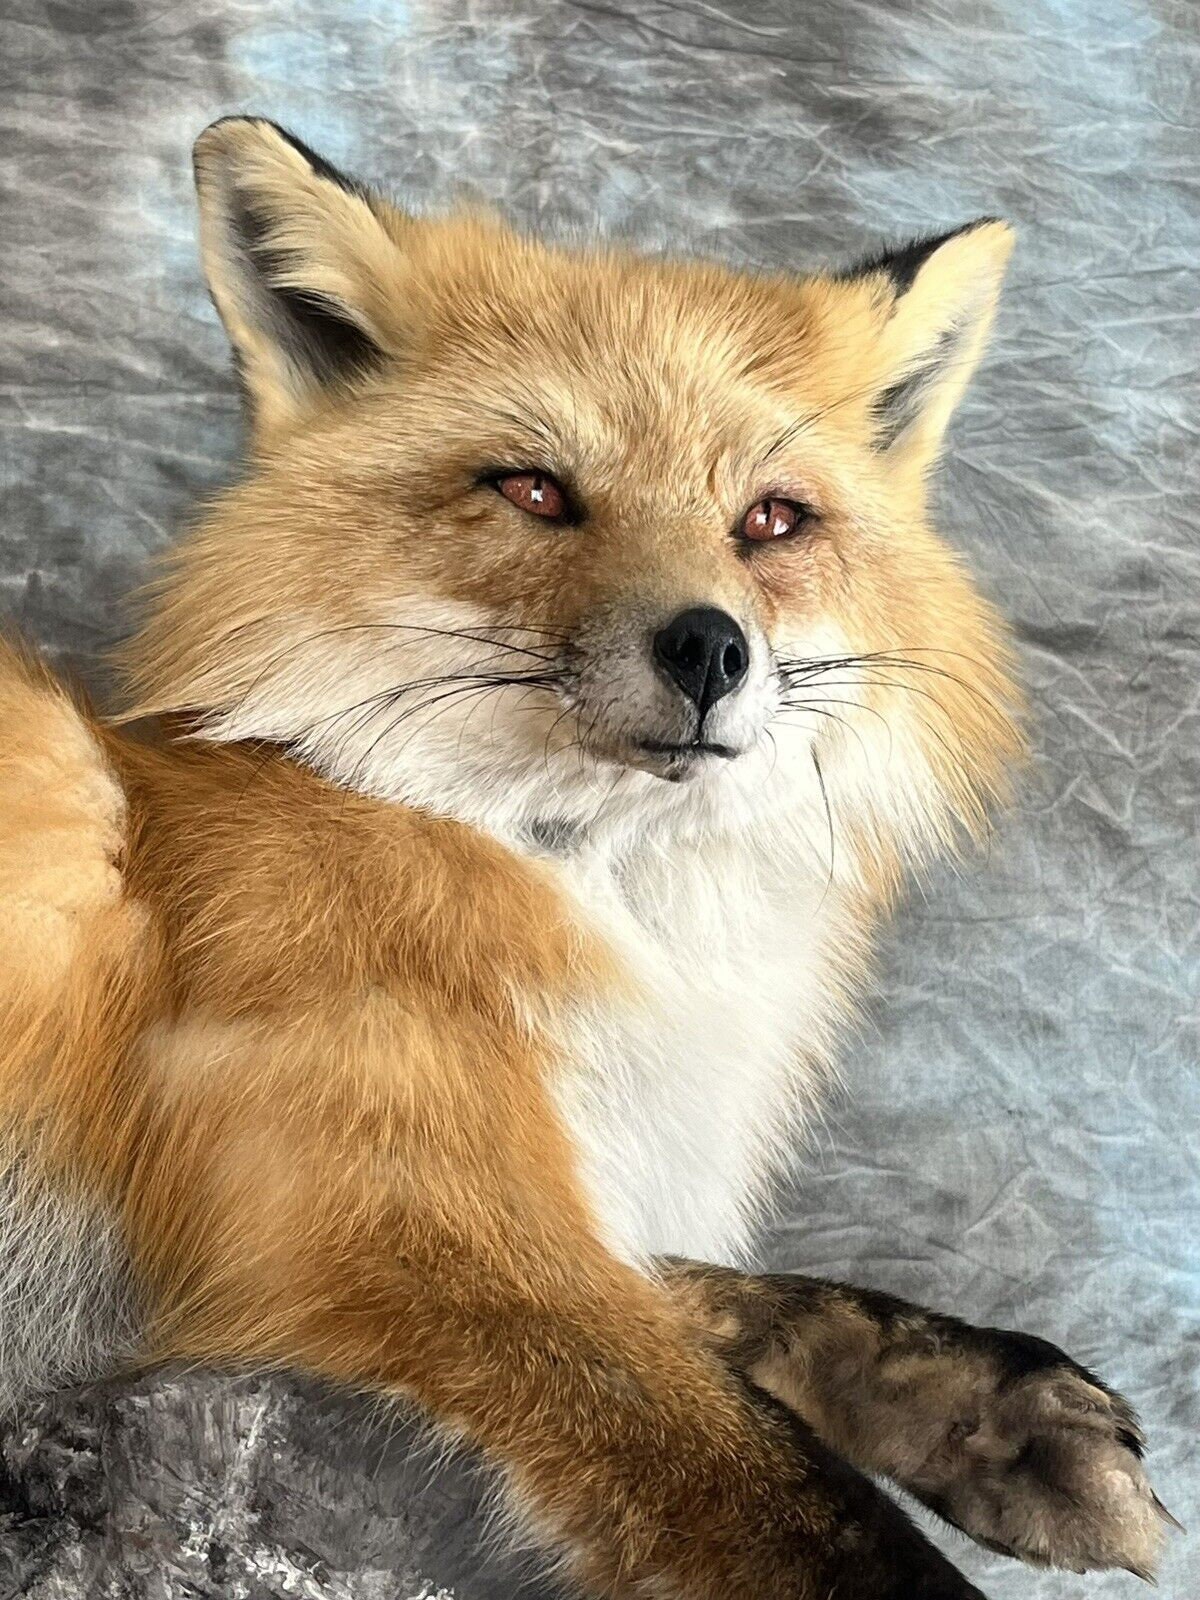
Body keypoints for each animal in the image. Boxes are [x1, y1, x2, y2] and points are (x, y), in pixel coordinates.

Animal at [0, 117, 1175, 1598]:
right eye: (536, 490)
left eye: (772, 521)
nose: (711, 648)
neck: (596, 896)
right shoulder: (377, 1229)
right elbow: (775, 1474)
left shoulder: (479, 1205)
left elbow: (717, 1302)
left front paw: (985, 1406)